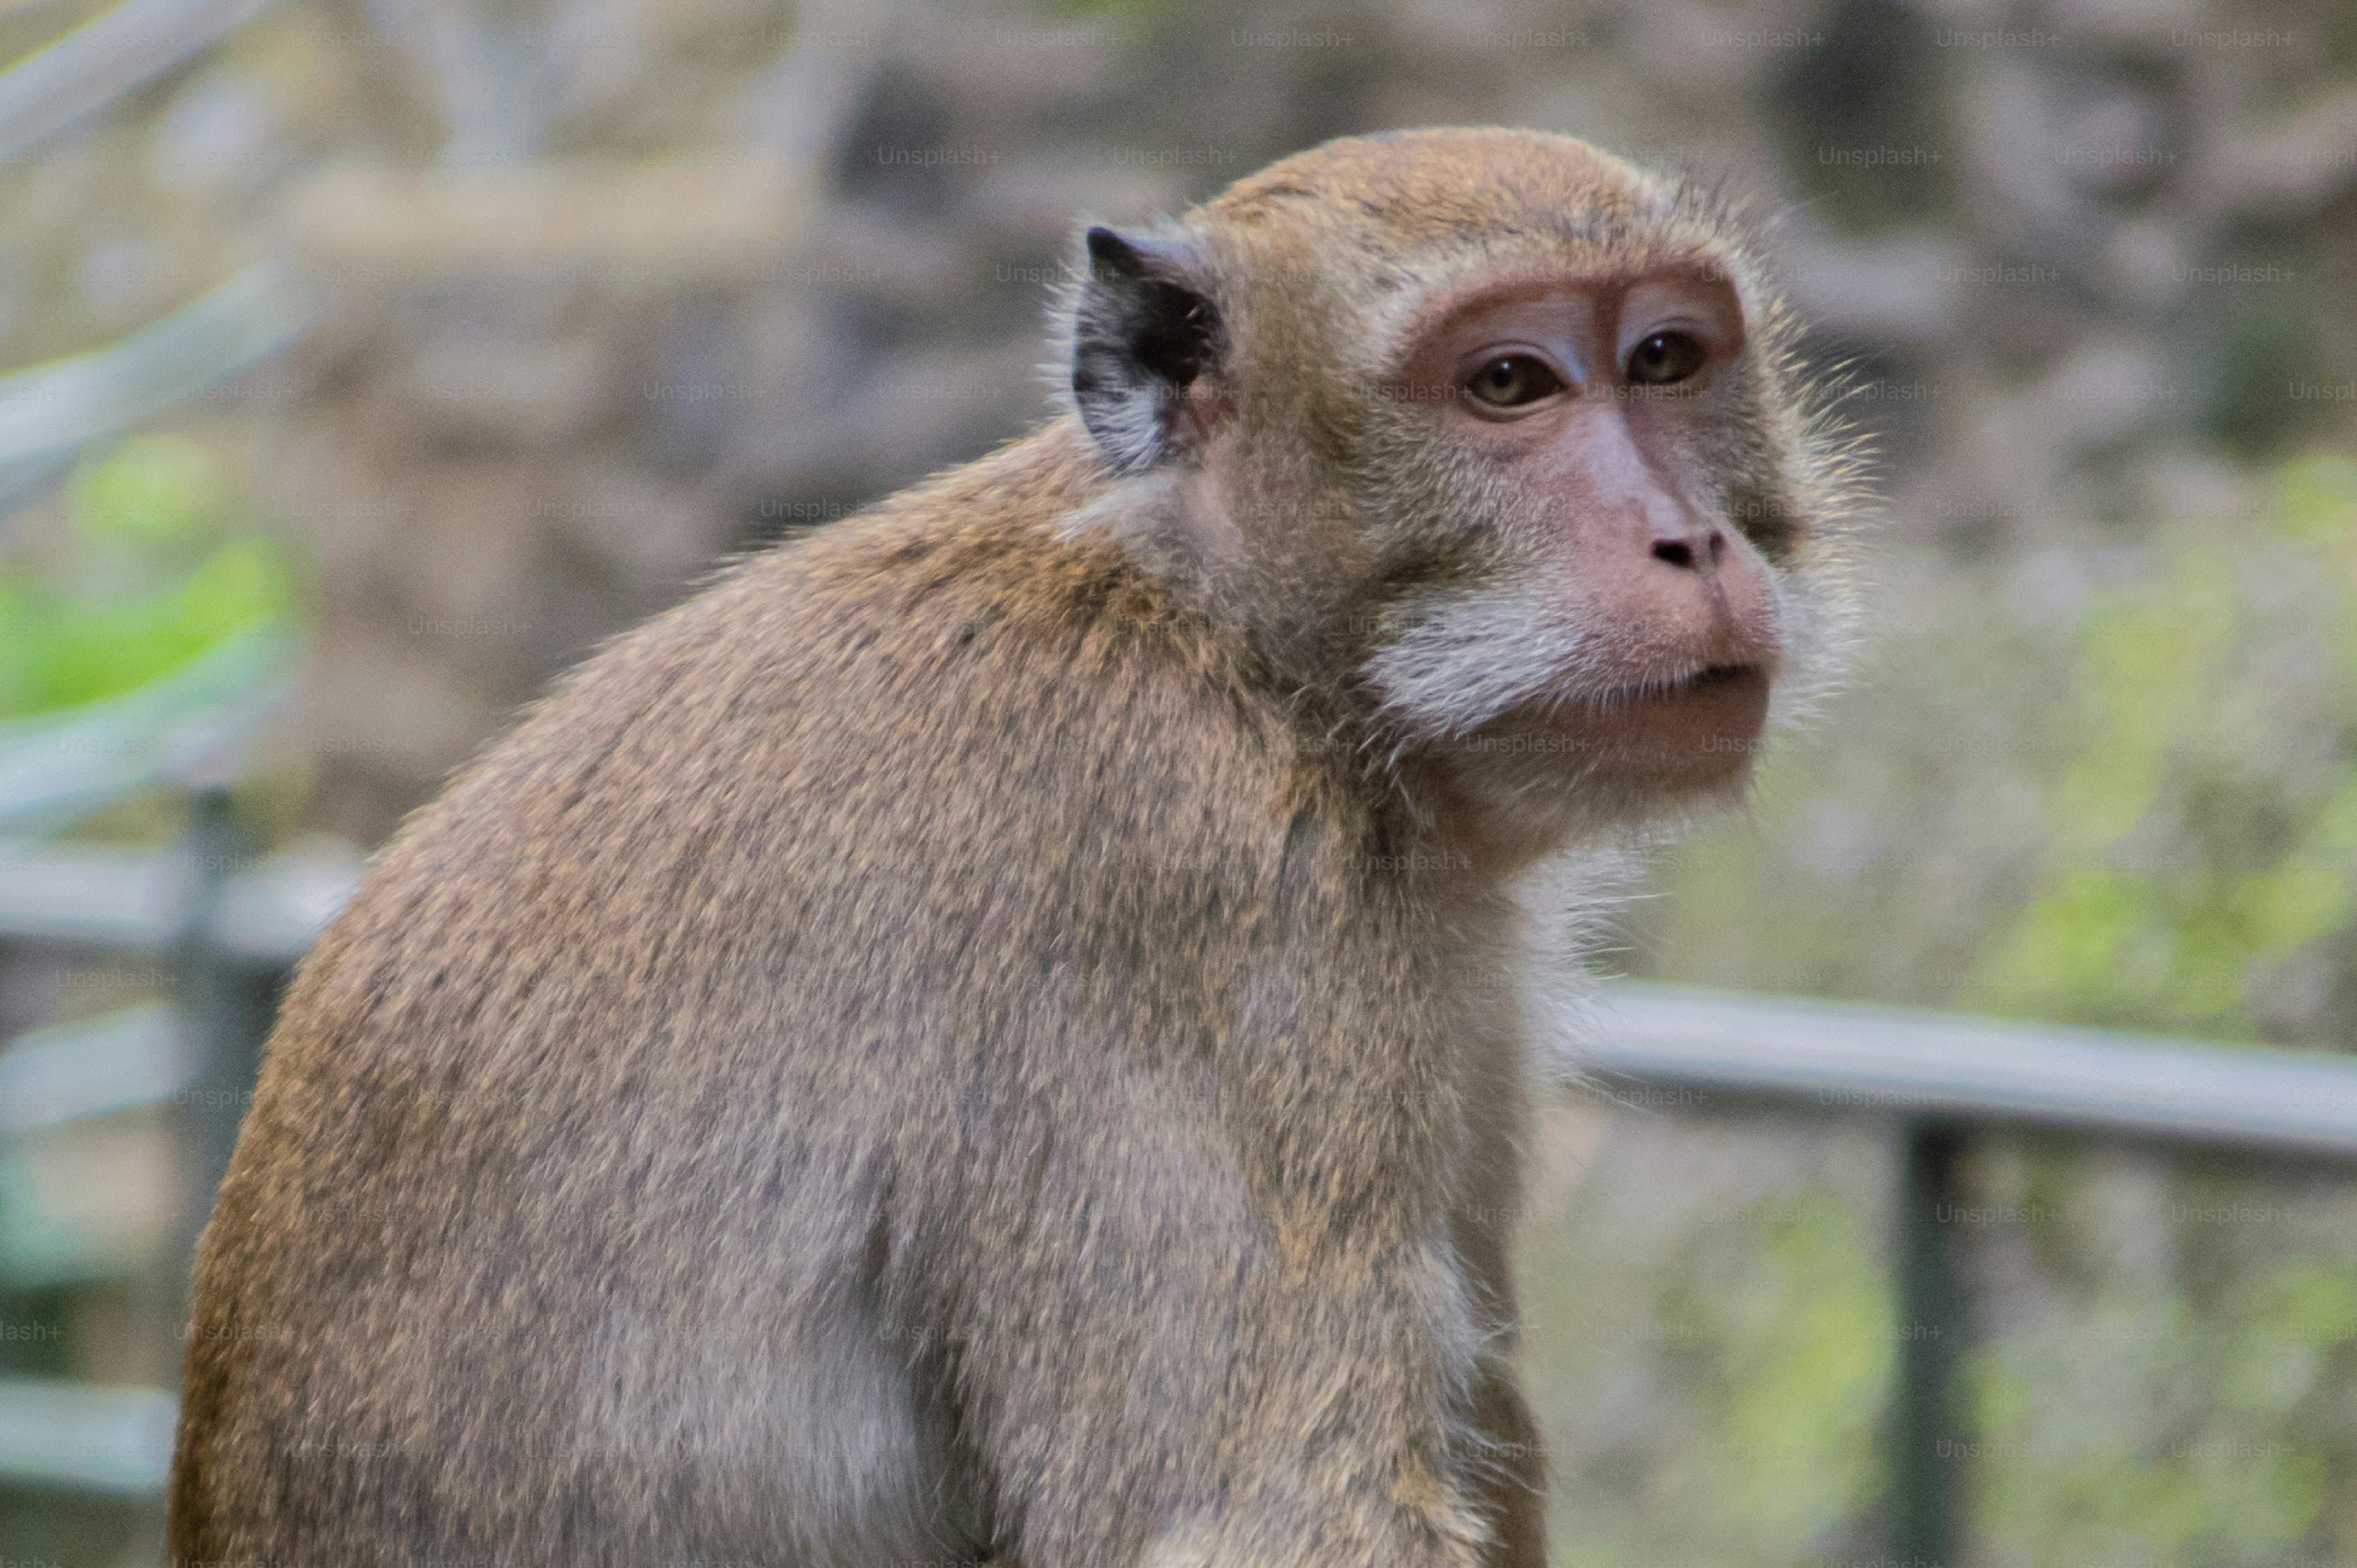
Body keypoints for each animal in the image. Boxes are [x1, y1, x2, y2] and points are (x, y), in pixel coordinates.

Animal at [170, 127, 1859, 1568]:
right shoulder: (1206, 898)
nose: (1689, 541)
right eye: (1508, 382)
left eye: (1662, 360)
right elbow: (1258, 1525)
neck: (1228, 641)